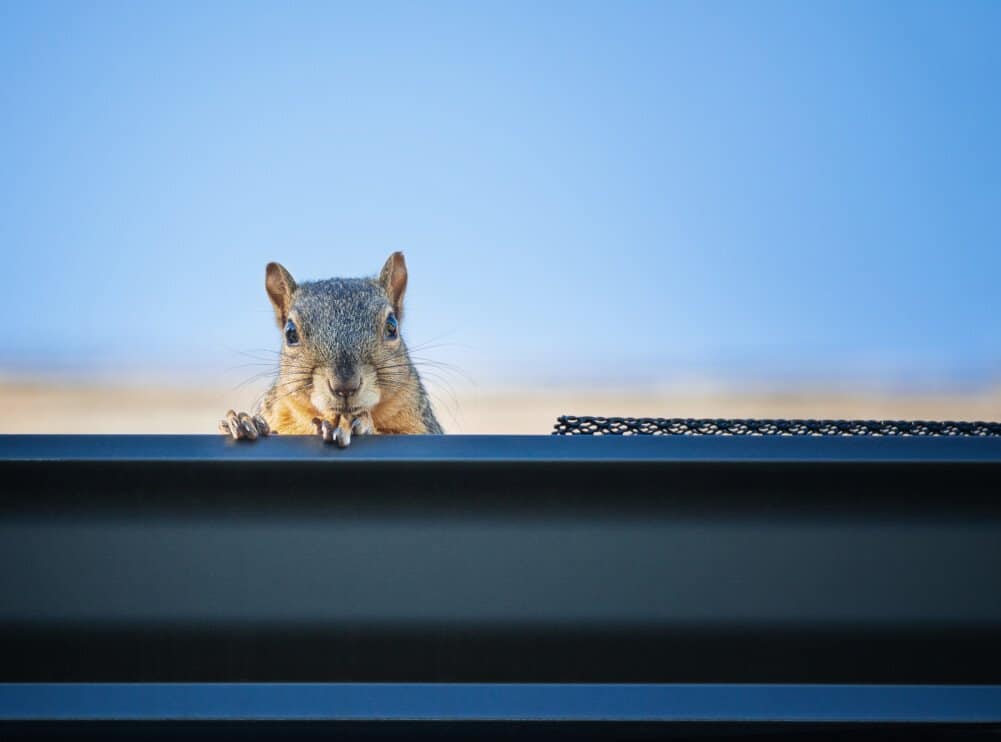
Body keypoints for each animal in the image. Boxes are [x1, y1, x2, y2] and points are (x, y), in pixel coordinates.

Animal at [219, 252, 442, 447]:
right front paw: (245, 422)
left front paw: (361, 425)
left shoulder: (423, 423)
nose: (345, 386)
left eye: (392, 327)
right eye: (290, 333)